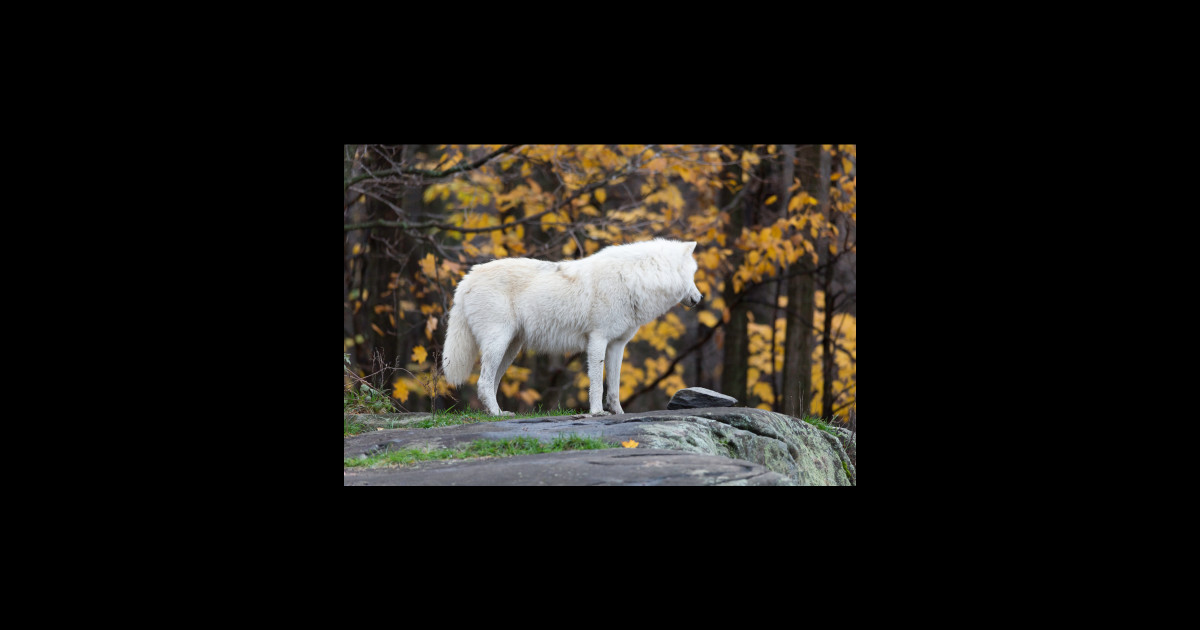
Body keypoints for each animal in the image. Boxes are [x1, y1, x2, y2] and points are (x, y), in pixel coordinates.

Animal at [442, 238, 703, 416]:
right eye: (692, 275)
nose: (699, 298)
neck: (634, 279)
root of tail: (467, 278)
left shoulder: (617, 345)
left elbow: (614, 387)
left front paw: (618, 414)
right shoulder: (597, 340)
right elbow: (596, 383)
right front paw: (597, 412)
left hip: (510, 349)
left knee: (489, 383)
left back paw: (497, 414)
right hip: (499, 343)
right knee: (483, 382)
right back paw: (497, 413)